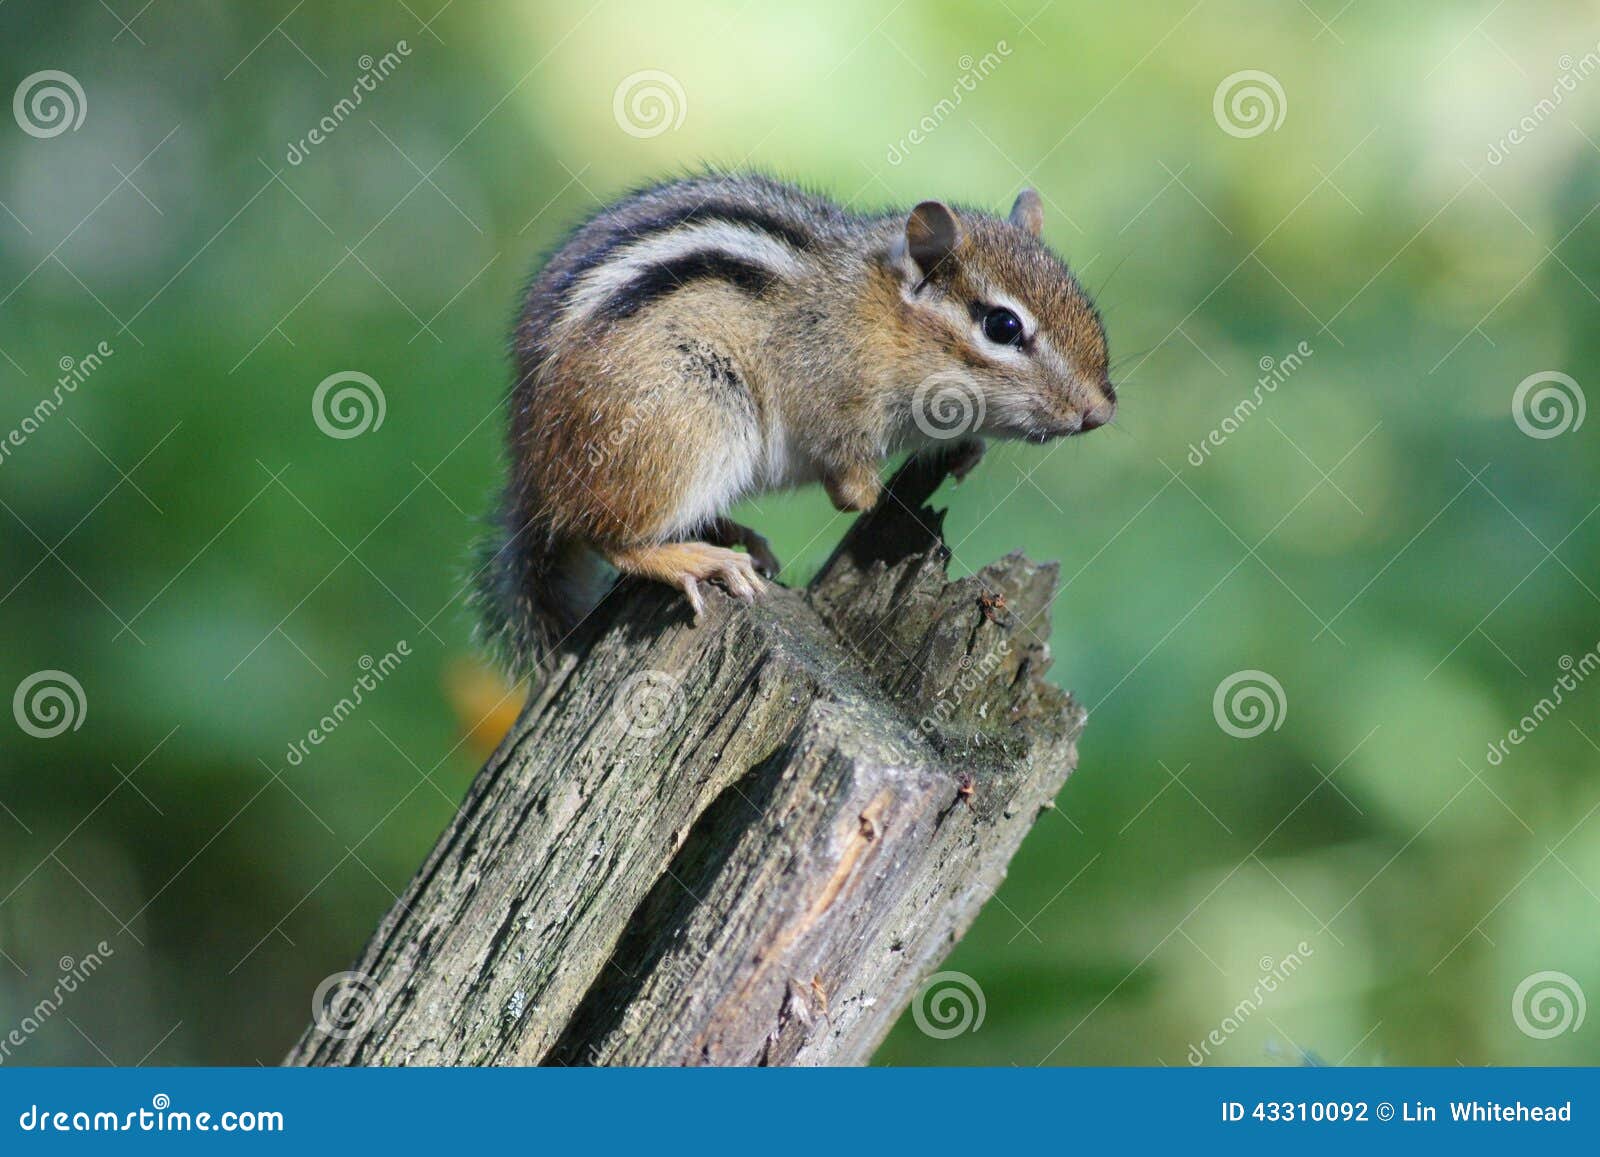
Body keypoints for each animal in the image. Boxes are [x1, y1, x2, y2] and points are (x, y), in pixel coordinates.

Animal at [475, 171, 1115, 672]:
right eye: (1003, 327)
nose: (1100, 411)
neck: (878, 314)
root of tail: (532, 469)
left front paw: (961, 451)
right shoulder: (830, 398)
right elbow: (847, 483)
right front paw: (876, 492)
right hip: (688, 415)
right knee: (609, 535)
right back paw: (698, 557)